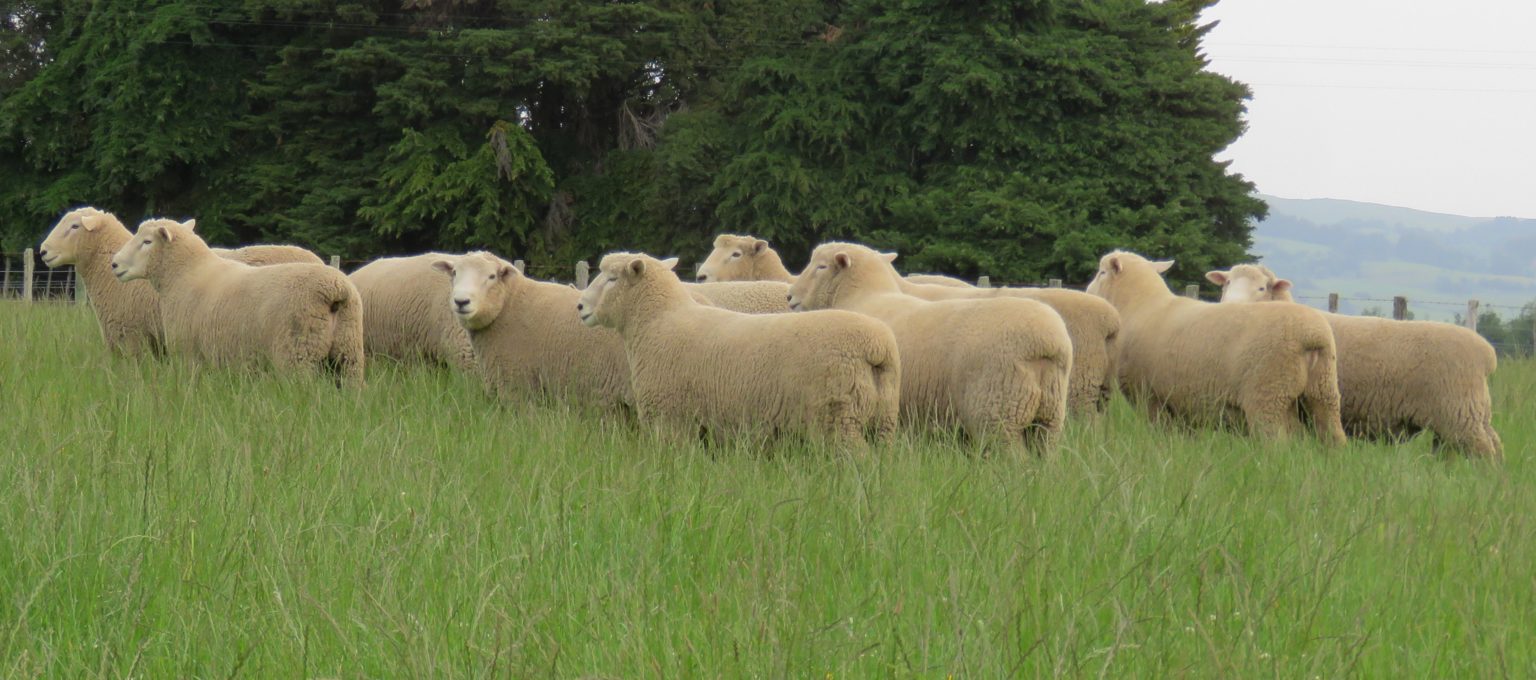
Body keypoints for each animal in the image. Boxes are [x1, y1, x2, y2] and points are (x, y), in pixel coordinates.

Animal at [109, 218, 364, 383]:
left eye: (147, 242)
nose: (114, 264)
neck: (184, 274)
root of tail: (335, 288)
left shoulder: (189, 355)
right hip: (348, 355)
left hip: (298, 354)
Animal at [577, 252, 901, 446]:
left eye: (612, 279)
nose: (580, 306)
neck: (658, 321)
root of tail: (877, 347)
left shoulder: (669, 421)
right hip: (883, 422)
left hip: (839, 422)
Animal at [787, 242, 1072, 455]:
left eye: (821, 266)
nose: (789, 297)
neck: (861, 296)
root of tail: (1049, 342)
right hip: (1049, 420)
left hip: (1000, 414)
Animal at [1086, 250, 1345, 444]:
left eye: (1101, 272)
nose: (1087, 291)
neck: (1141, 306)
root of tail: (1312, 335)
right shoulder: (1182, 404)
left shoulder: (1149, 397)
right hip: (1324, 392)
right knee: (1334, 439)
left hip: (1268, 396)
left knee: (1277, 443)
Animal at [1205, 264, 1502, 459]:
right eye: (1227, 283)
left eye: (1262, 287)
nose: (1229, 308)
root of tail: (1486, 352)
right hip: (1470, 413)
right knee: (1488, 444)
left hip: (1459, 412)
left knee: (1485, 450)